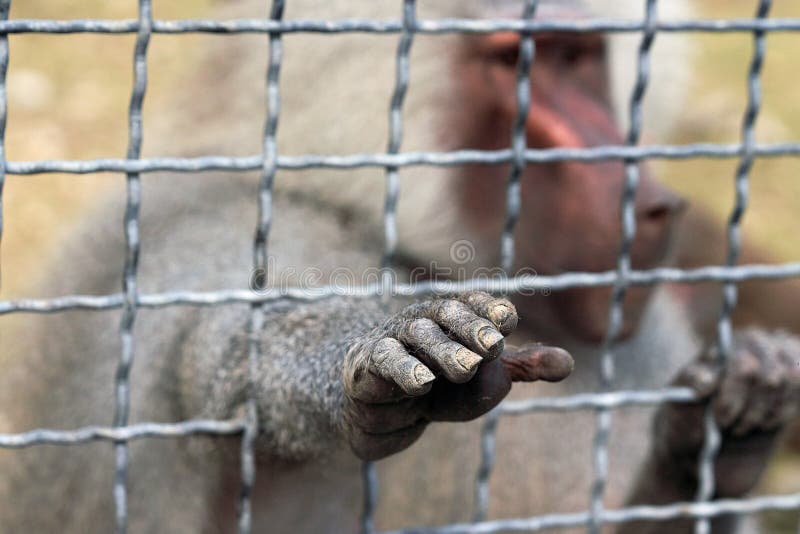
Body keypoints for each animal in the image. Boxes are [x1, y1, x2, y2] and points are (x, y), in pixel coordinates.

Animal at [1, 1, 799, 533]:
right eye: (516, 64)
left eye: (577, 58)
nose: (650, 201)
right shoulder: (217, 242)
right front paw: (395, 358)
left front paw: (730, 418)